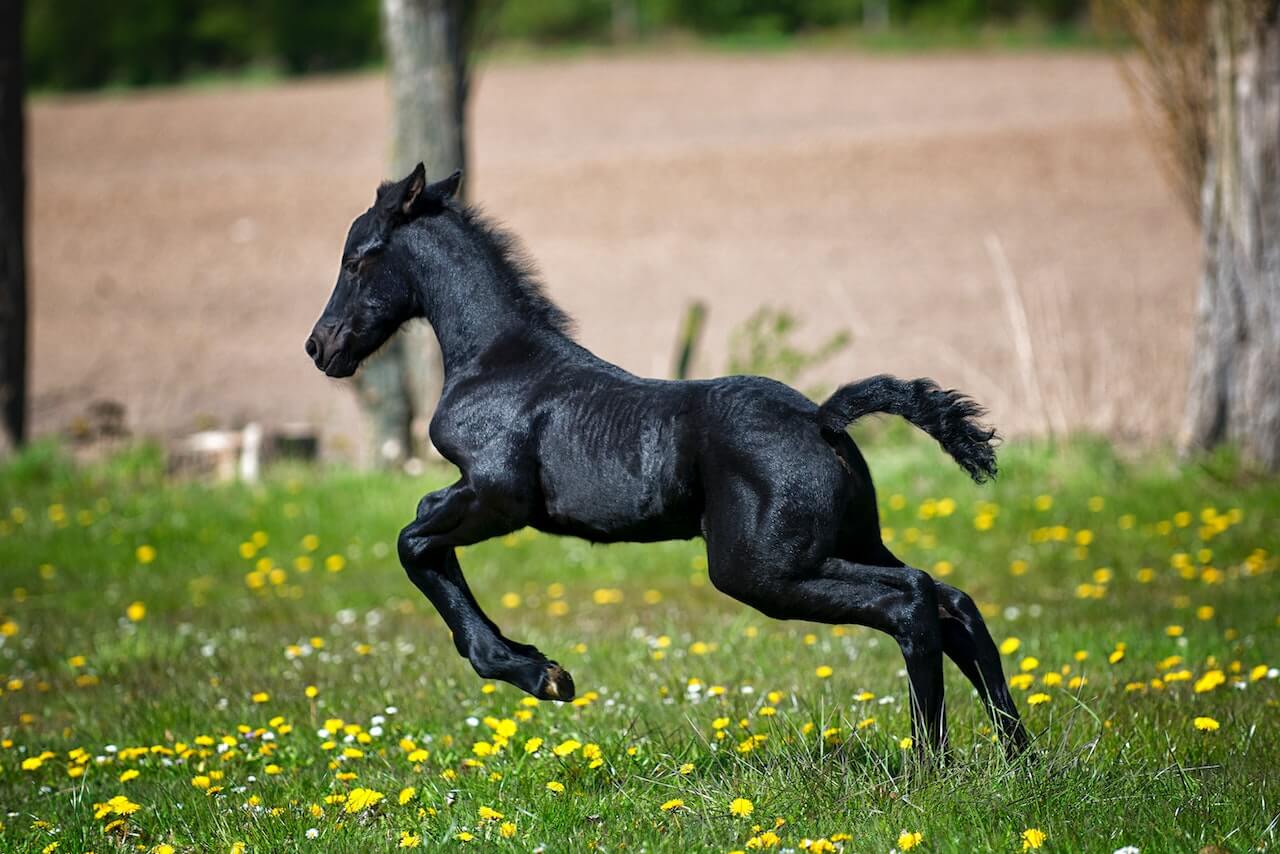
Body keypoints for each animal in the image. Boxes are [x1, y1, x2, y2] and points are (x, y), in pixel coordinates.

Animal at [306, 164, 1029, 755]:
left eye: (355, 259)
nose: (320, 347)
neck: (498, 359)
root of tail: (822, 418)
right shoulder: (478, 497)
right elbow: (423, 535)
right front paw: (537, 666)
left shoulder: (497, 497)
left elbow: (413, 540)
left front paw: (539, 673)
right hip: (844, 542)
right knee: (952, 600)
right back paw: (1017, 757)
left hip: (762, 569)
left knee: (912, 601)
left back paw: (930, 763)